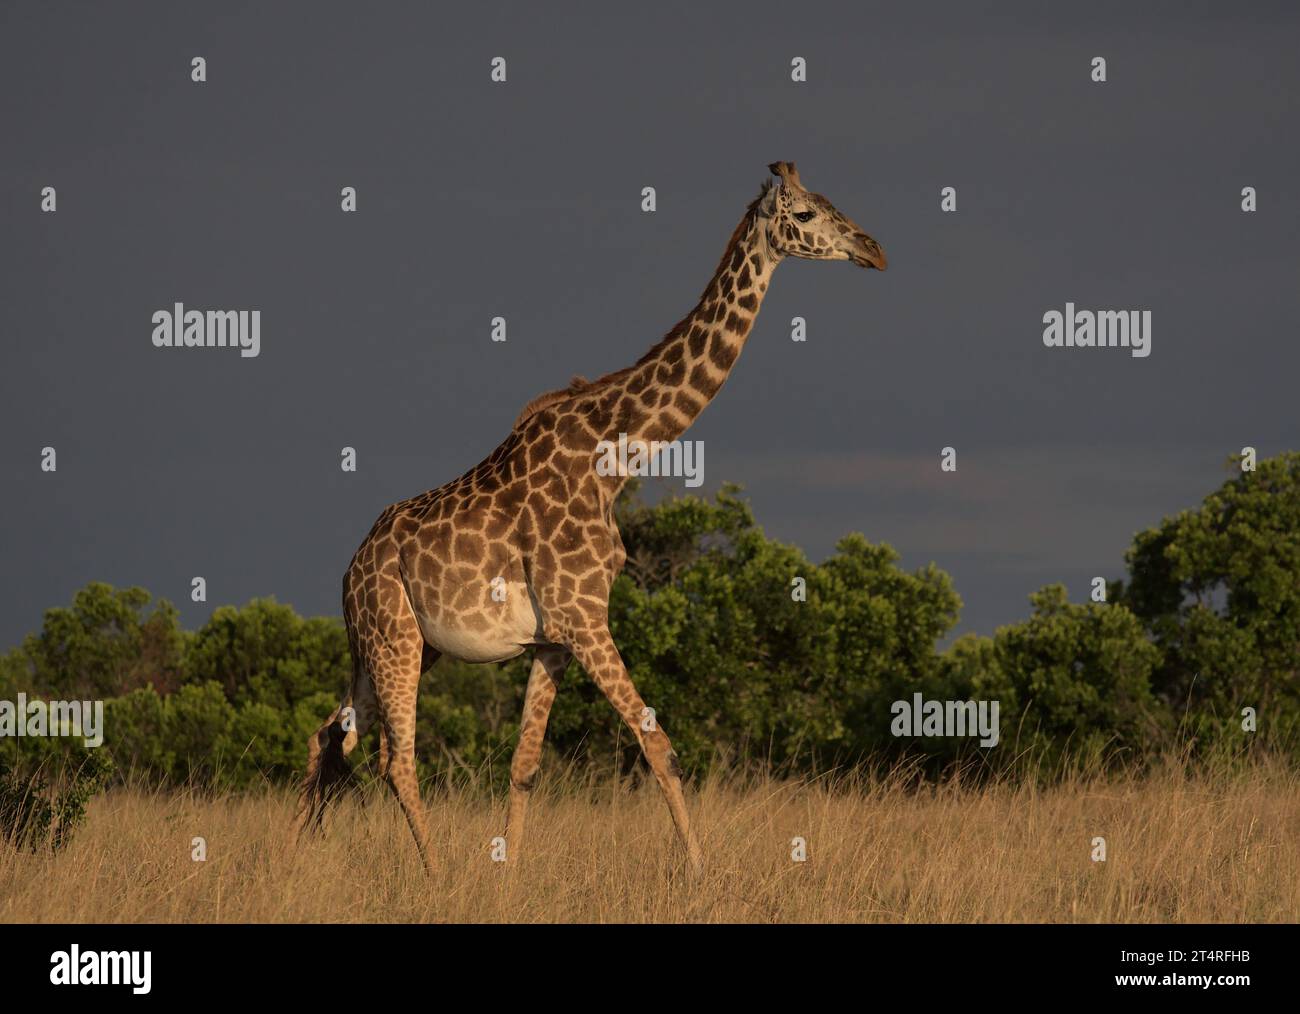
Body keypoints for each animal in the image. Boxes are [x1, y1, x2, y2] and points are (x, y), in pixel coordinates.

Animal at [298, 161, 887, 873]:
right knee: (394, 759)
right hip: (395, 641)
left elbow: (524, 766)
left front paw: (508, 877)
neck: (616, 456)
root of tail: (351, 569)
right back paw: (435, 874)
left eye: (831, 201)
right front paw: (701, 874)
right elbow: (660, 746)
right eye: (804, 214)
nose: (873, 250)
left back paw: (290, 864)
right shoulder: (584, 618)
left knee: (329, 737)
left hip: (389, 646)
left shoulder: (553, 638)